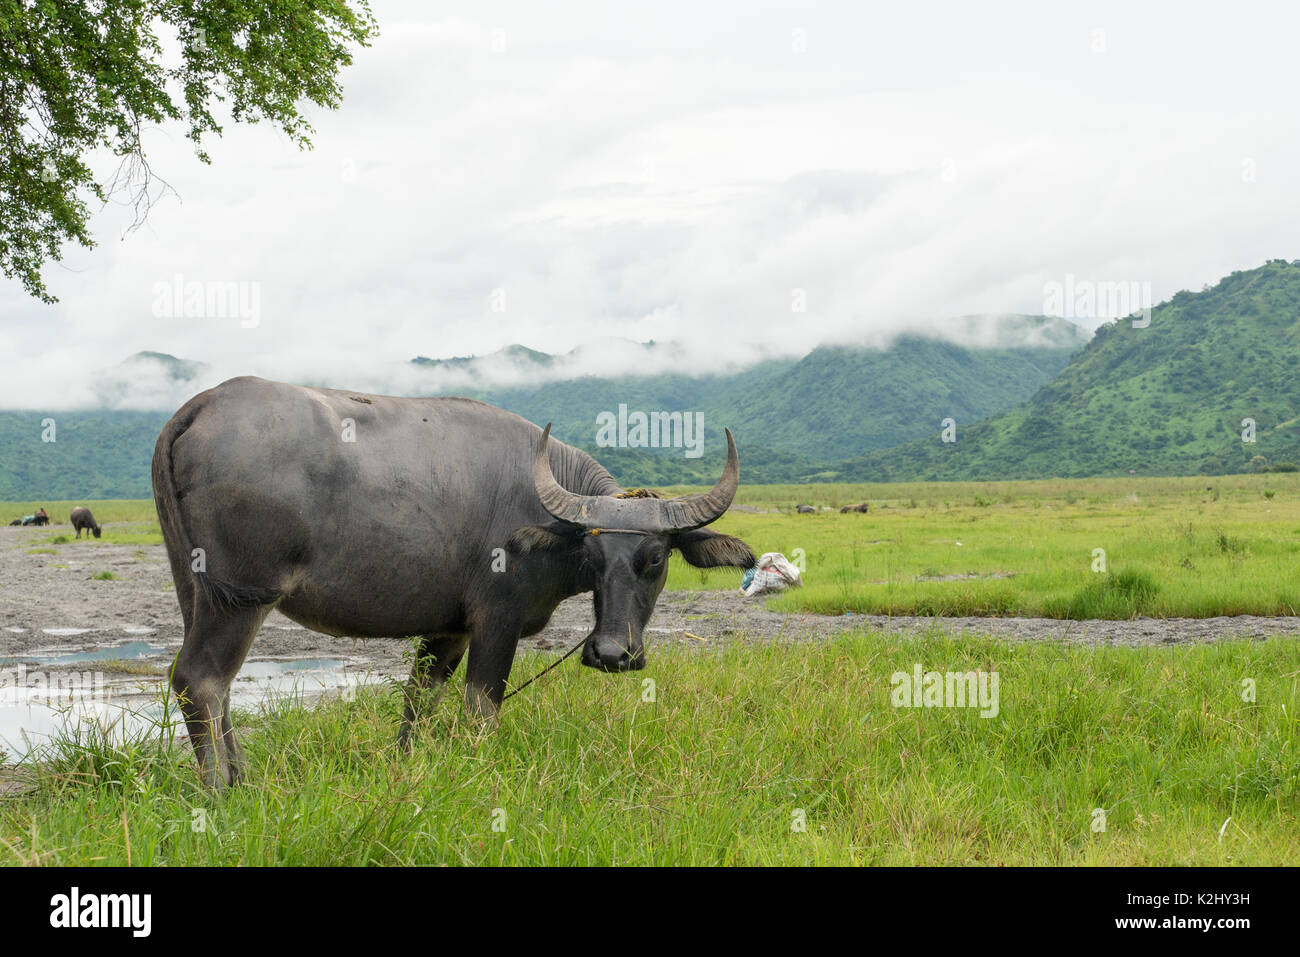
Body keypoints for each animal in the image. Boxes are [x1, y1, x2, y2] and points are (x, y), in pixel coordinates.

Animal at [154, 377, 755, 788]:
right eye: (592, 550)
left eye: (655, 557)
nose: (611, 654)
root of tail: (197, 408)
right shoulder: (497, 619)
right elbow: (482, 709)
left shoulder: (449, 629)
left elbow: (420, 701)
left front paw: (406, 766)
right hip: (239, 598)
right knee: (200, 679)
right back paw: (222, 792)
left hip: (195, 591)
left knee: (217, 688)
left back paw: (243, 779)